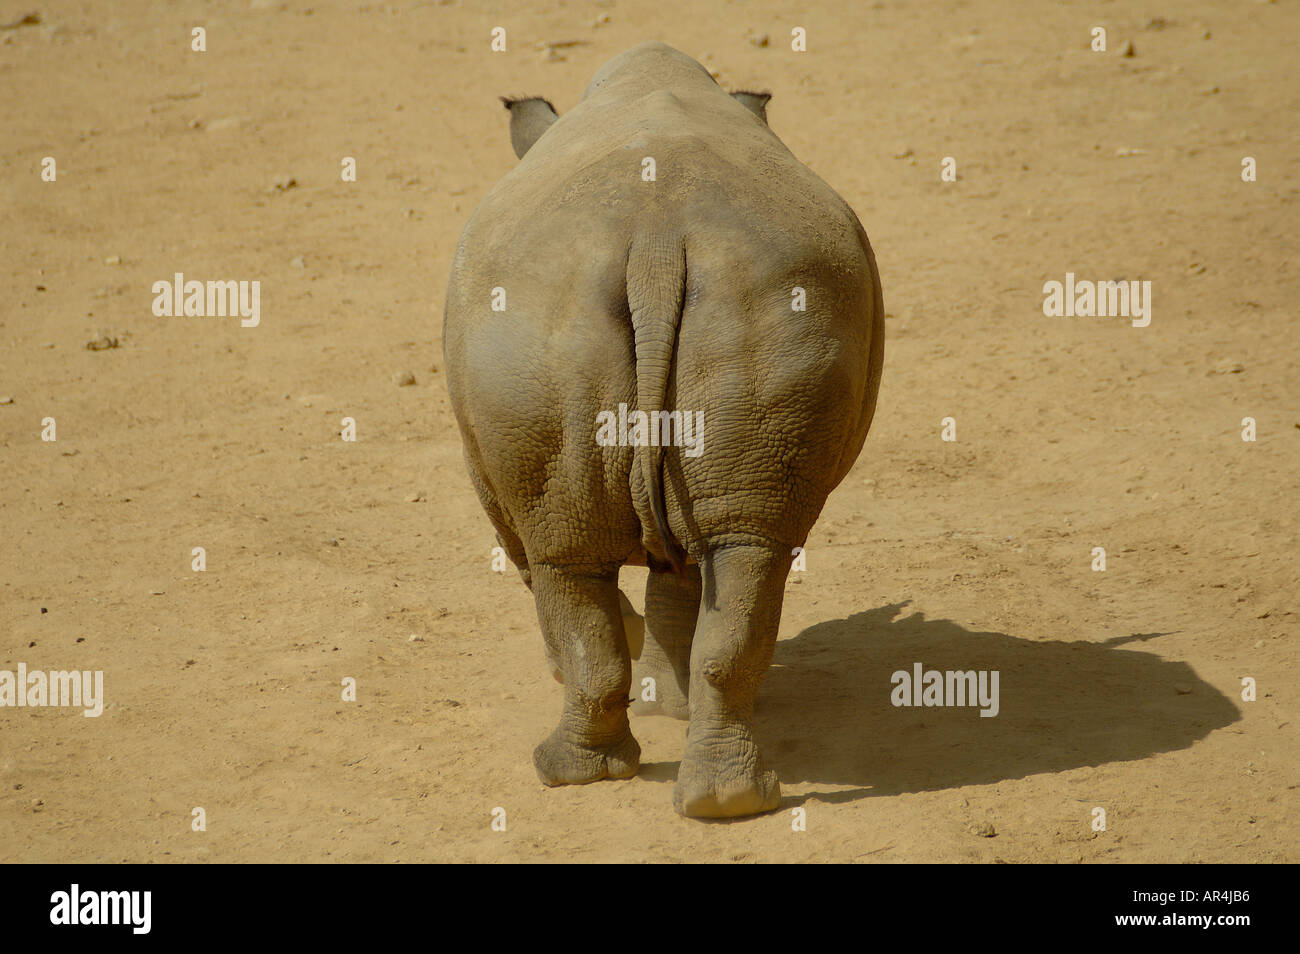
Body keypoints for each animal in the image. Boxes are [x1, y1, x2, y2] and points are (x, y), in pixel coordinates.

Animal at [443, 42, 884, 817]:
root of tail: (653, 244)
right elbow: (679, 576)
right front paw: (665, 703)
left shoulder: (486, 468)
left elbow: (538, 562)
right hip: (758, 297)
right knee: (748, 545)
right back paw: (727, 802)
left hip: (543, 321)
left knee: (564, 559)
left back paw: (567, 774)